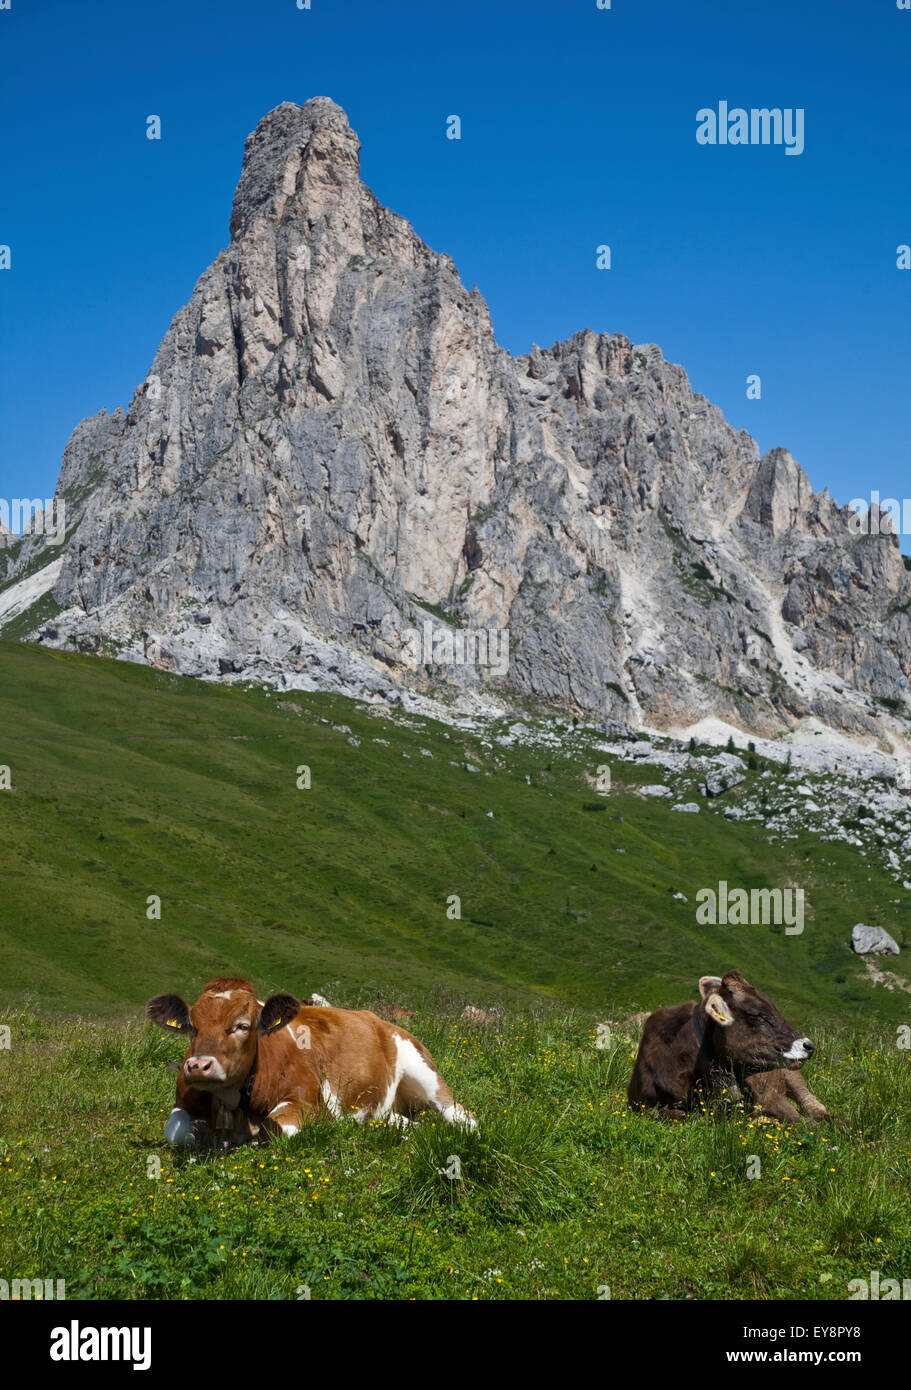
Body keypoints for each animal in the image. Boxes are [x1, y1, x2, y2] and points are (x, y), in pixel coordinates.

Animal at [146, 977, 476, 1148]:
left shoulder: (309, 1101)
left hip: (425, 1072)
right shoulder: (183, 1101)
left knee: (462, 1116)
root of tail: (377, 1019)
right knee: (400, 1121)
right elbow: (174, 1133)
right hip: (386, 1107)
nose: (198, 1066)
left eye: (242, 1025)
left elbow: (274, 1130)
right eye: (193, 1027)